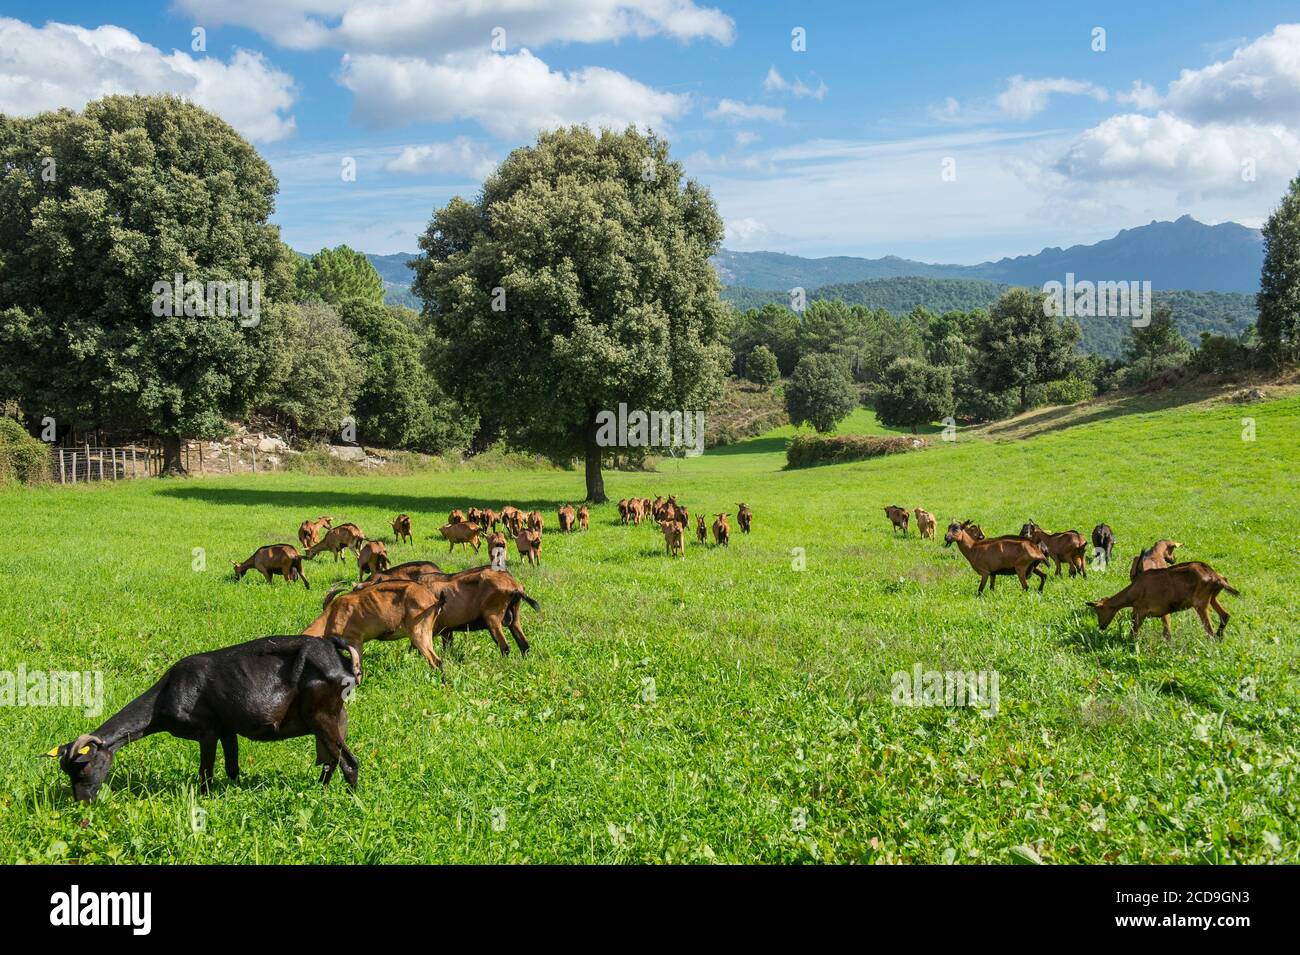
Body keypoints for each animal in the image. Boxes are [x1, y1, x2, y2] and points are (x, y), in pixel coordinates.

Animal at [45, 635, 361, 802]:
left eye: (84, 768)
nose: (82, 802)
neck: (166, 694)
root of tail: (335, 651)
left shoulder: (207, 731)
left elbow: (206, 772)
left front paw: (205, 798)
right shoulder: (227, 729)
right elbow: (232, 767)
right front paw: (233, 792)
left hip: (322, 715)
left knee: (349, 762)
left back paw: (349, 799)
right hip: (329, 719)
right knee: (330, 761)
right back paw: (319, 792)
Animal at [1088, 561, 1239, 640]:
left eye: (1099, 611)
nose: (1101, 626)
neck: (1133, 591)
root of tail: (1216, 577)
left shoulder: (1141, 611)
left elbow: (1134, 631)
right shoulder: (1164, 611)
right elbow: (1167, 632)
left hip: (1200, 603)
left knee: (1209, 630)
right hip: (1212, 598)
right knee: (1225, 615)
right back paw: (1220, 637)